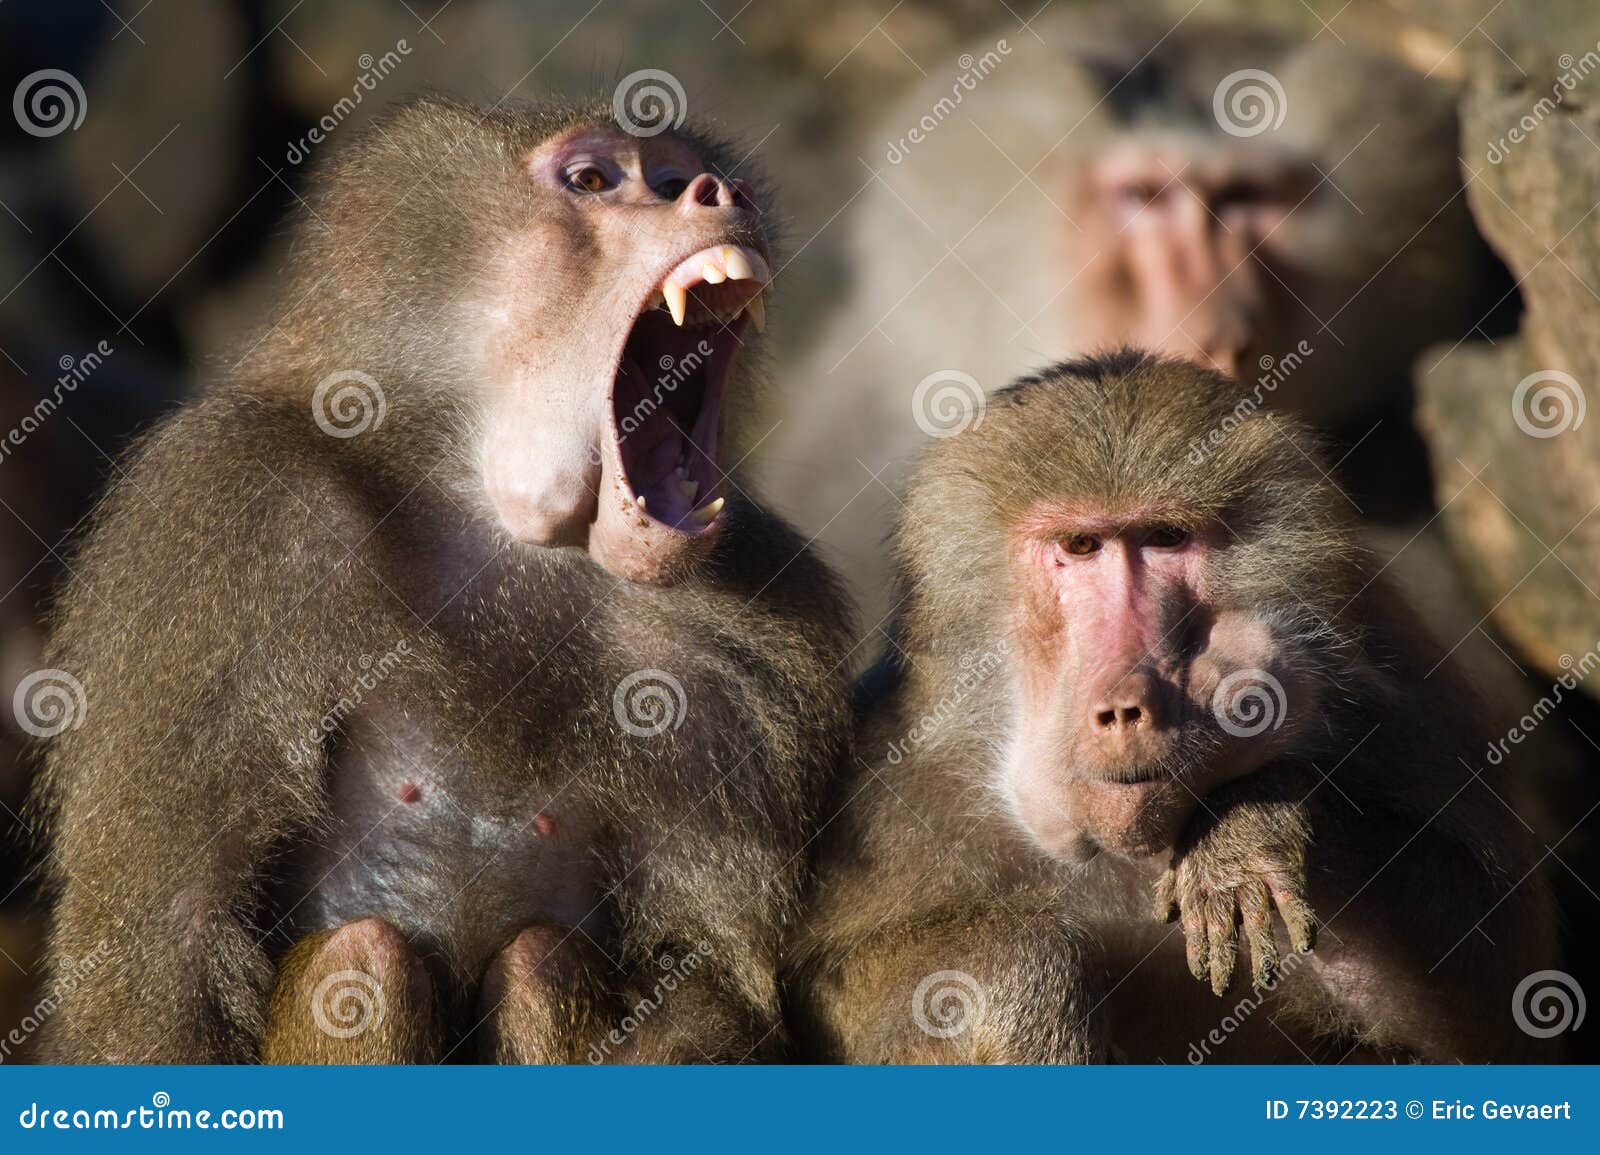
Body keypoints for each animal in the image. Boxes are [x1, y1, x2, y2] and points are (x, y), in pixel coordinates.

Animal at [29, 95, 854, 1064]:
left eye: (679, 171)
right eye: (593, 179)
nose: (724, 193)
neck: (494, 520)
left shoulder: (760, 634)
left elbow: (704, 971)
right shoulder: (223, 517)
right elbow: (162, 953)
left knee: (543, 961)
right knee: (365, 958)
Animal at [787, 350, 1561, 1064]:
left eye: (1163, 538)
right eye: (1079, 545)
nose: (1126, 707)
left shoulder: (1400, 686)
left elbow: (1495, 1010)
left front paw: (1248, 823)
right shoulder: (896, 775)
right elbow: (834, 983)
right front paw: (1021, 981)